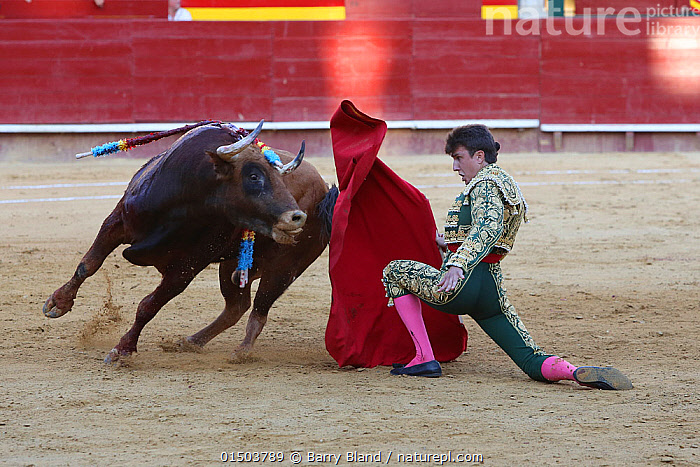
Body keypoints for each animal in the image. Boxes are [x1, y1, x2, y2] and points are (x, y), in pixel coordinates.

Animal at [42, 121, 338, 363]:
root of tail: (325, 191)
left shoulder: (187, 267)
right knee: (236, 306)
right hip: (231, 266)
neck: (185, 197)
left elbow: (148, 305)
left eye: (279, 178)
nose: (296, 217)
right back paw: (191, 341)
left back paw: (241, 351)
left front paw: (122, 349)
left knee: (259, 309)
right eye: (254, 176)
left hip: (284, 268)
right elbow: (89, 264)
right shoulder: (116, 223)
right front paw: (59, 302)